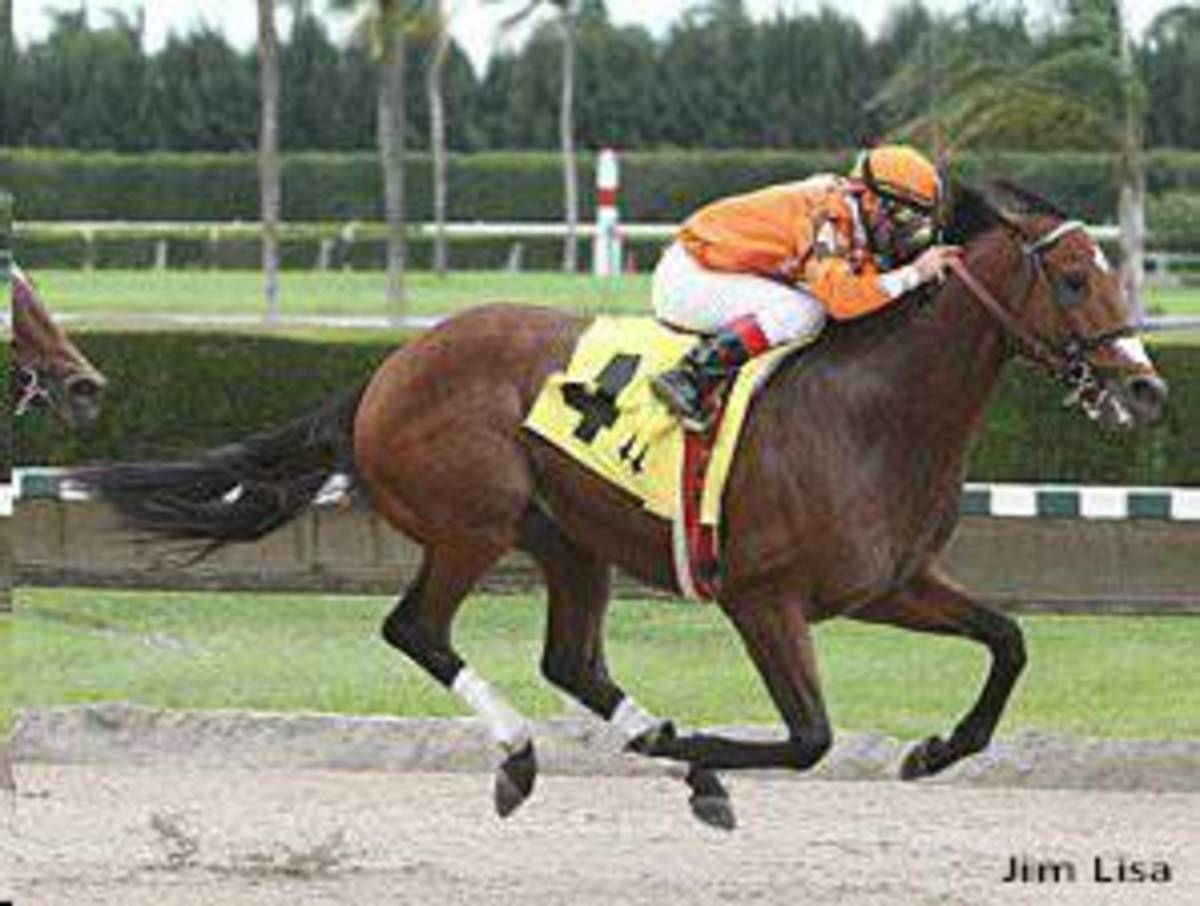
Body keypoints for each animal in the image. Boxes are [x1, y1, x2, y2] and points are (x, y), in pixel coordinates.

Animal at [74, 184, 1168, 830]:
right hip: (474, 522)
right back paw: (530, 755)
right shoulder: (763, 596)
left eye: (1117, 271)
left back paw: (641, 742)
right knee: (416, 629)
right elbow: (809, 738)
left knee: (572, 661)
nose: (1147, 388)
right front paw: (698, 758)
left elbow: (1009, 641)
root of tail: (392, 367)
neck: (874, 411)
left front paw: (936, 750)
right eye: (1077, 278)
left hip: (570, 539)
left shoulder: (891, 583)